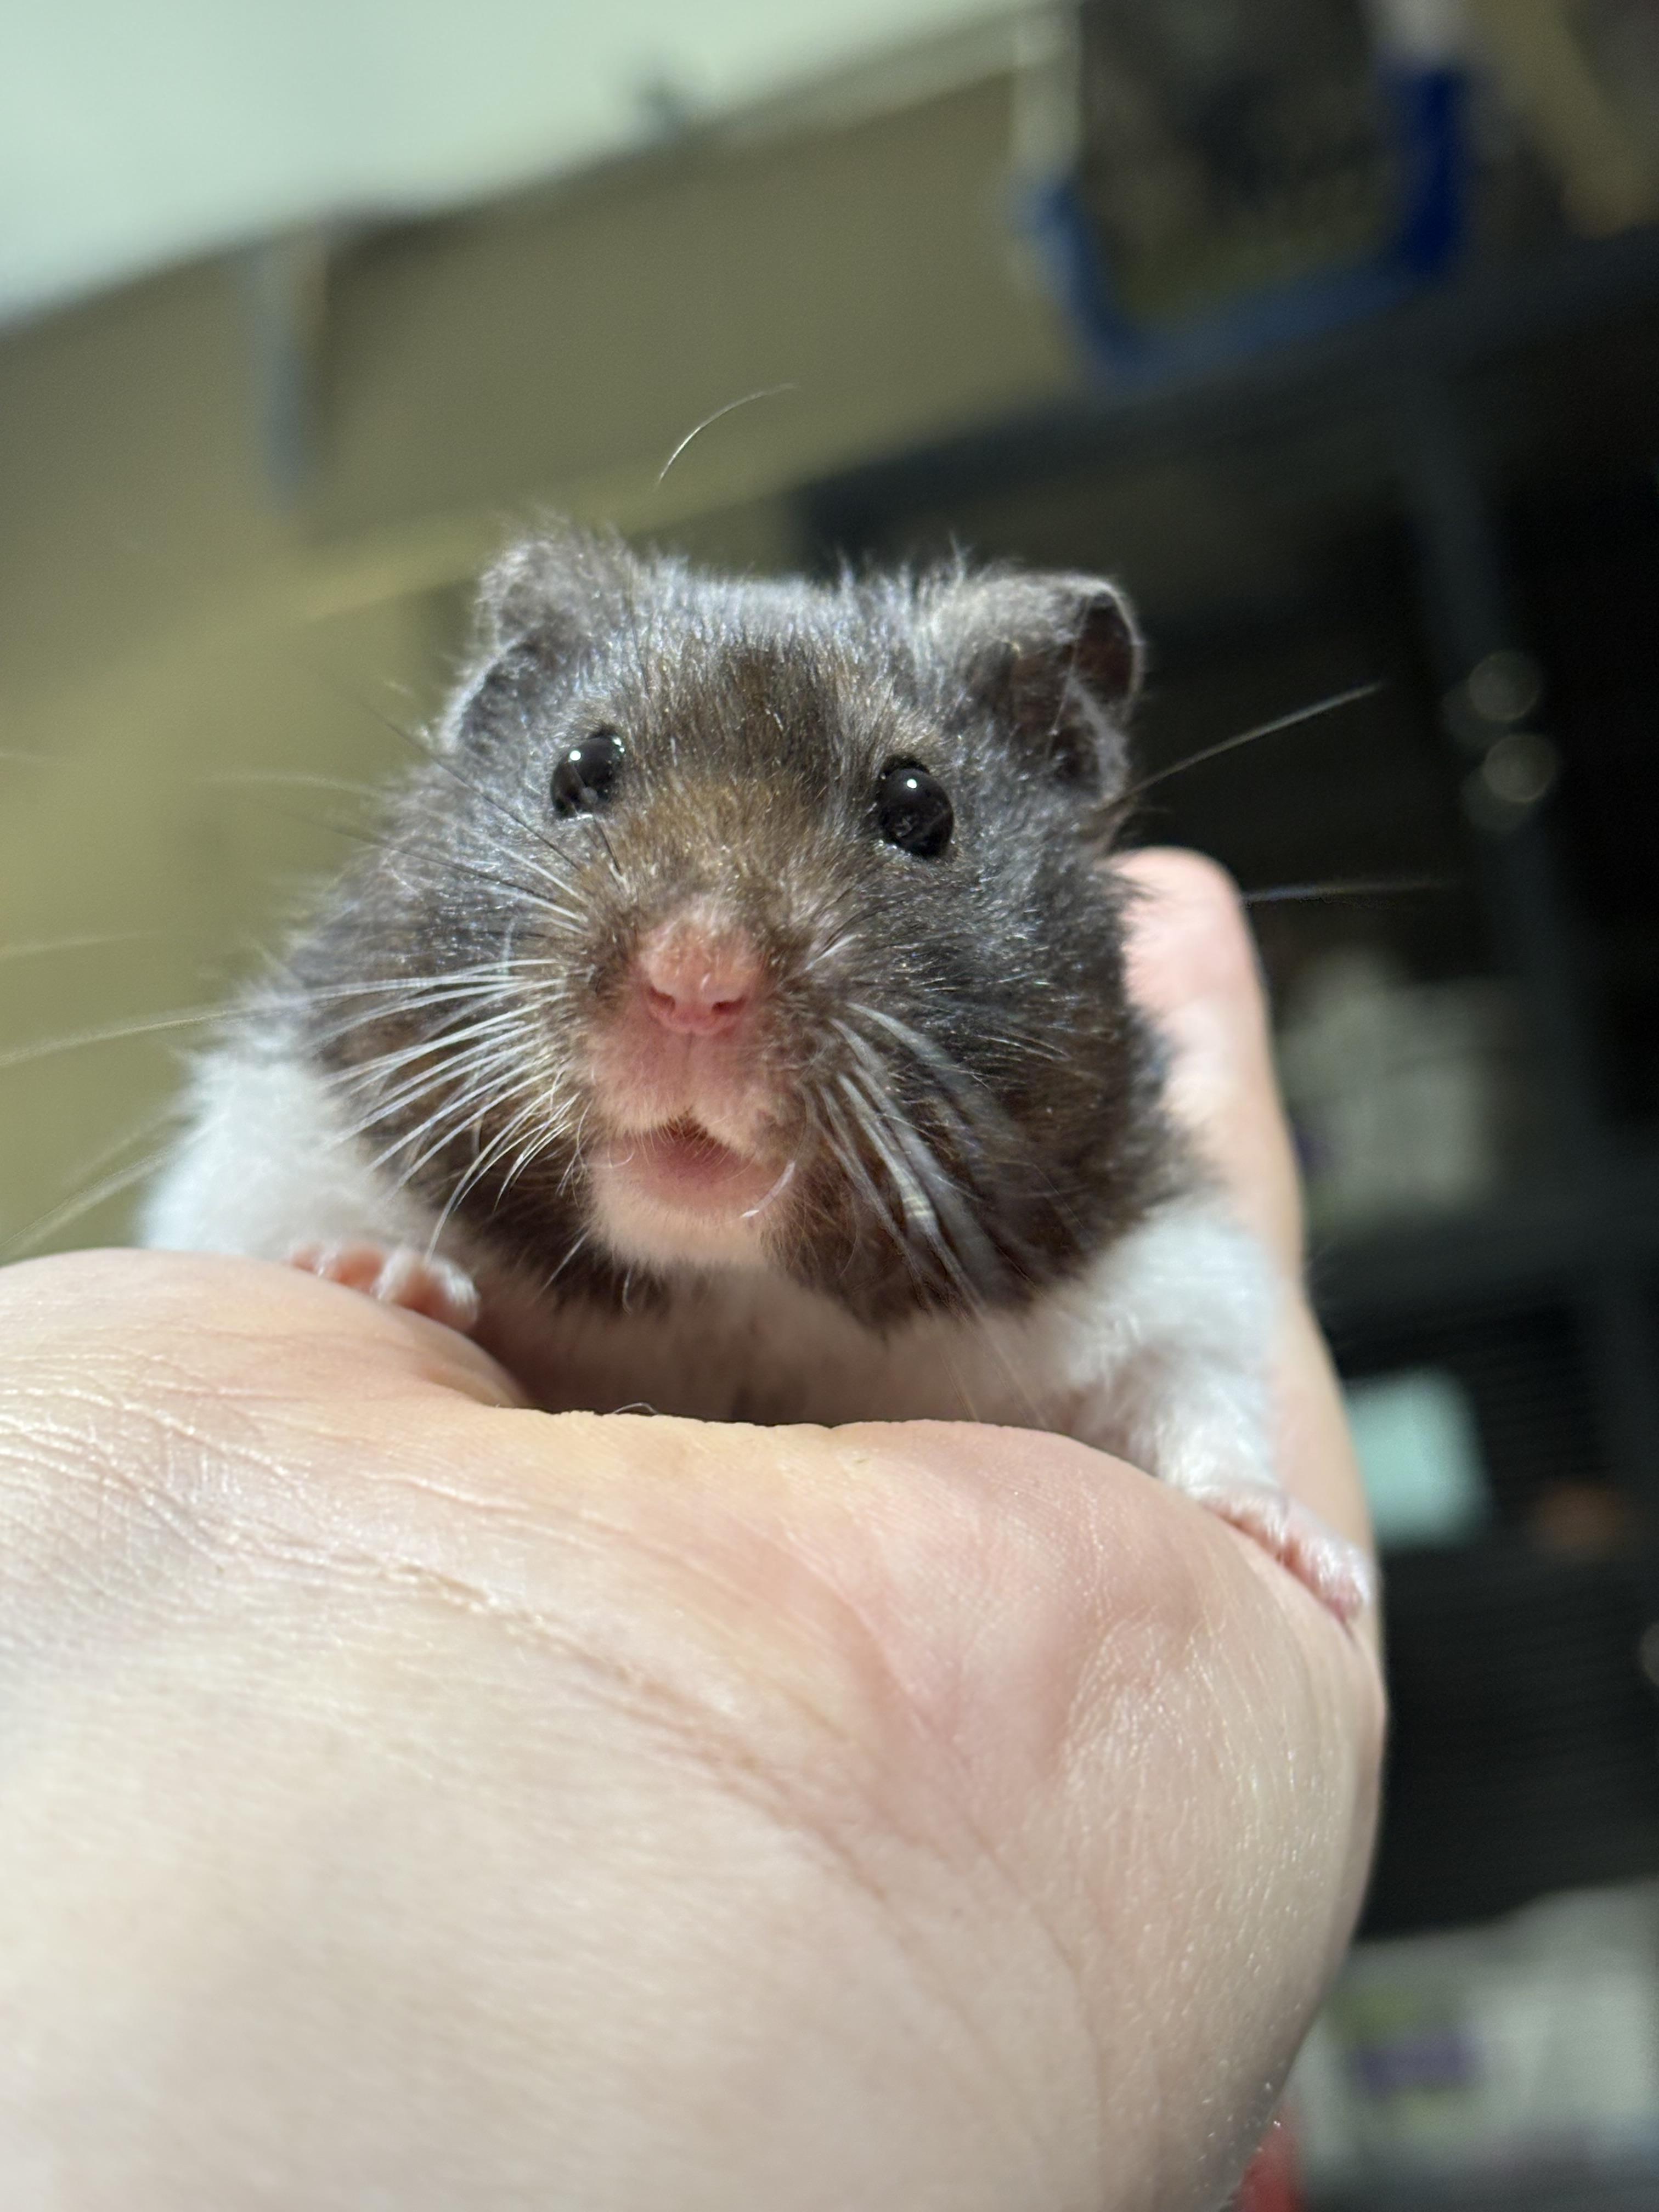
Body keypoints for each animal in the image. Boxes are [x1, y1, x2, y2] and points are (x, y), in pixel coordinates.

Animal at [142, 525, 1368, 1620]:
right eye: (580, 770)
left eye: (919, 807)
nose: (695, 981)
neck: (731, 1288)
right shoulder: (265, 1136)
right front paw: (370, 1270)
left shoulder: (1165, 1266)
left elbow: (1197, 1398)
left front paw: (1305, 1555)